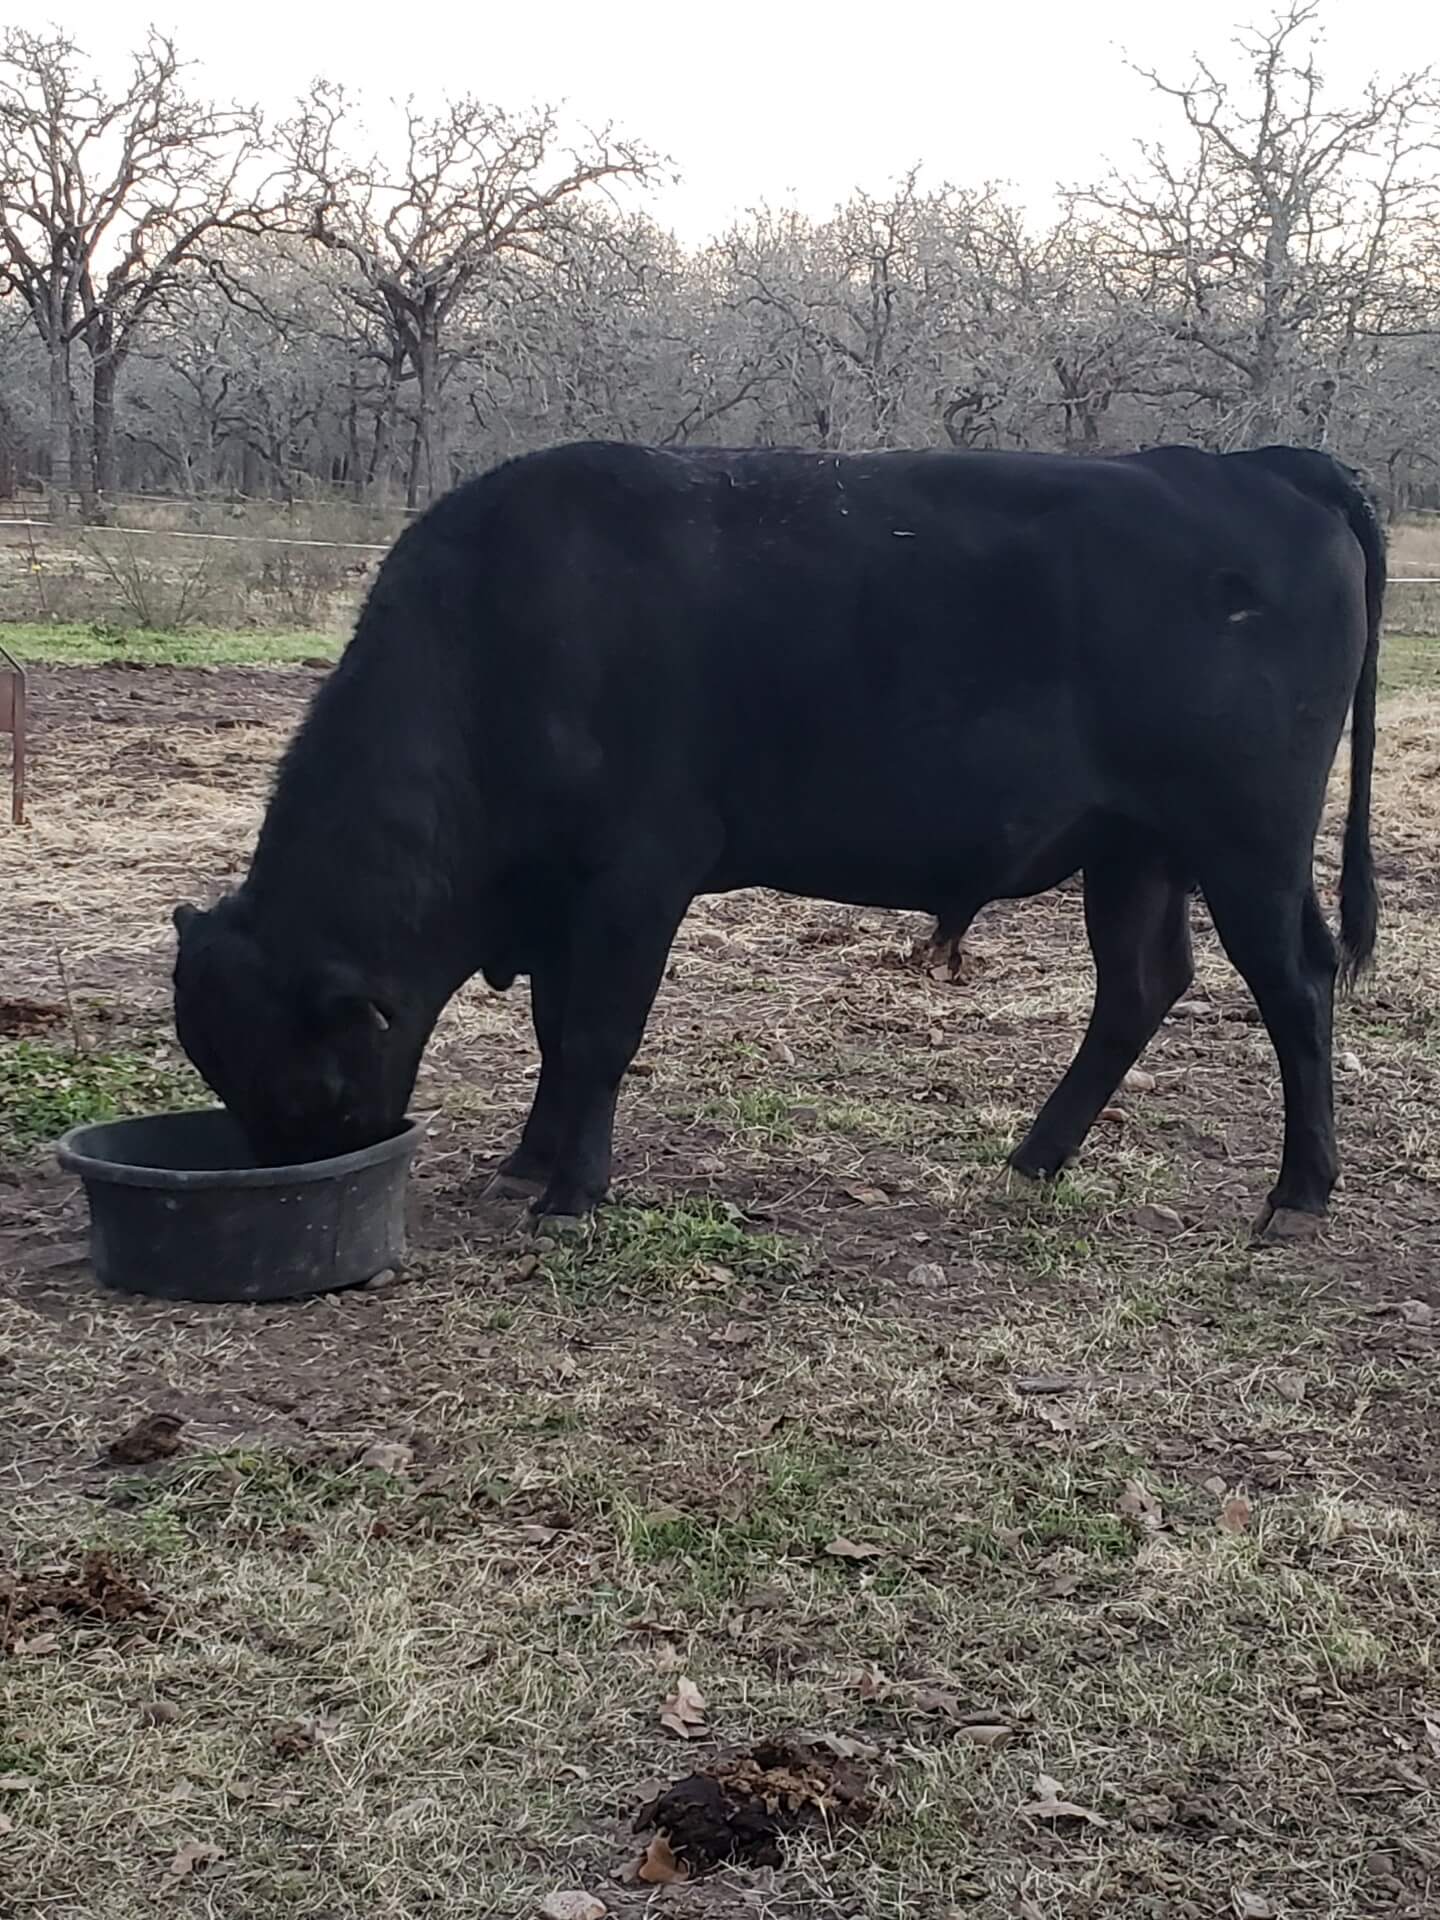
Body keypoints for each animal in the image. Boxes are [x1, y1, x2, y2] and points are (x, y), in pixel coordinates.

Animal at [172, 440, 1382, 1241]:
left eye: (306, 1093)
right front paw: (529, 1159)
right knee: (1140, 986)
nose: (288, 1188)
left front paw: (571, 1193)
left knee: (1295, 983)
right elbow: (557, 1034)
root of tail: (1253, 463)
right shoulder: (565, 900)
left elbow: (598, 1034)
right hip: (1135, 848)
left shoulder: (636, 875)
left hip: (1247, 839)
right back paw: (1035, 1157)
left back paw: (1298, 1194)